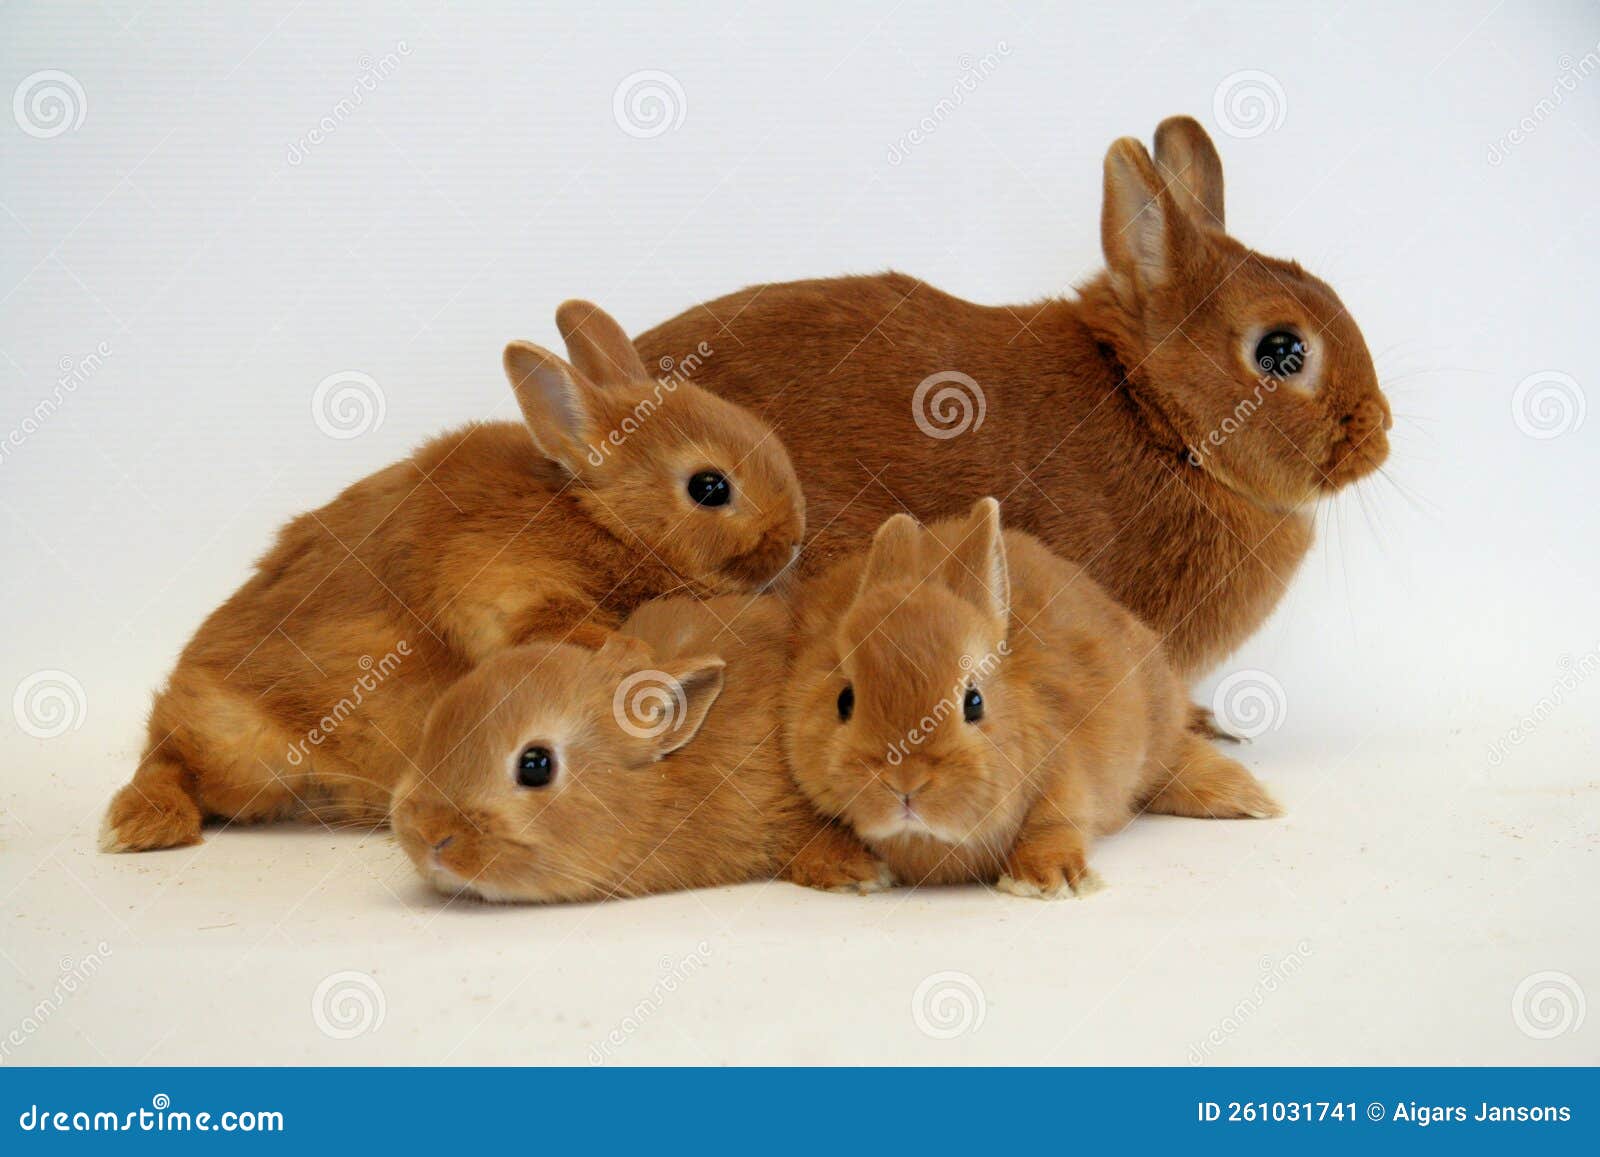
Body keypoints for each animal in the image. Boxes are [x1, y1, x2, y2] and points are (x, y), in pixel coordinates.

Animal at [101, 301, 807, 854]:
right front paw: (624, 649)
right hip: (242, 754)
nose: (793, 540)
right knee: (170, 760)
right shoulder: (500, 583)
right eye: (710, 487)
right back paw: (142, 824)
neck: (600, 520)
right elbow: (553, 626)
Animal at [782, 497, 1280, 897]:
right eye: (844, 701)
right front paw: (849, 871)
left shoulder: (1066, 774)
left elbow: (1055, 822)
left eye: (974, 702)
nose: (906, 782)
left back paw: (1249, 798)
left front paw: (1047, 881)